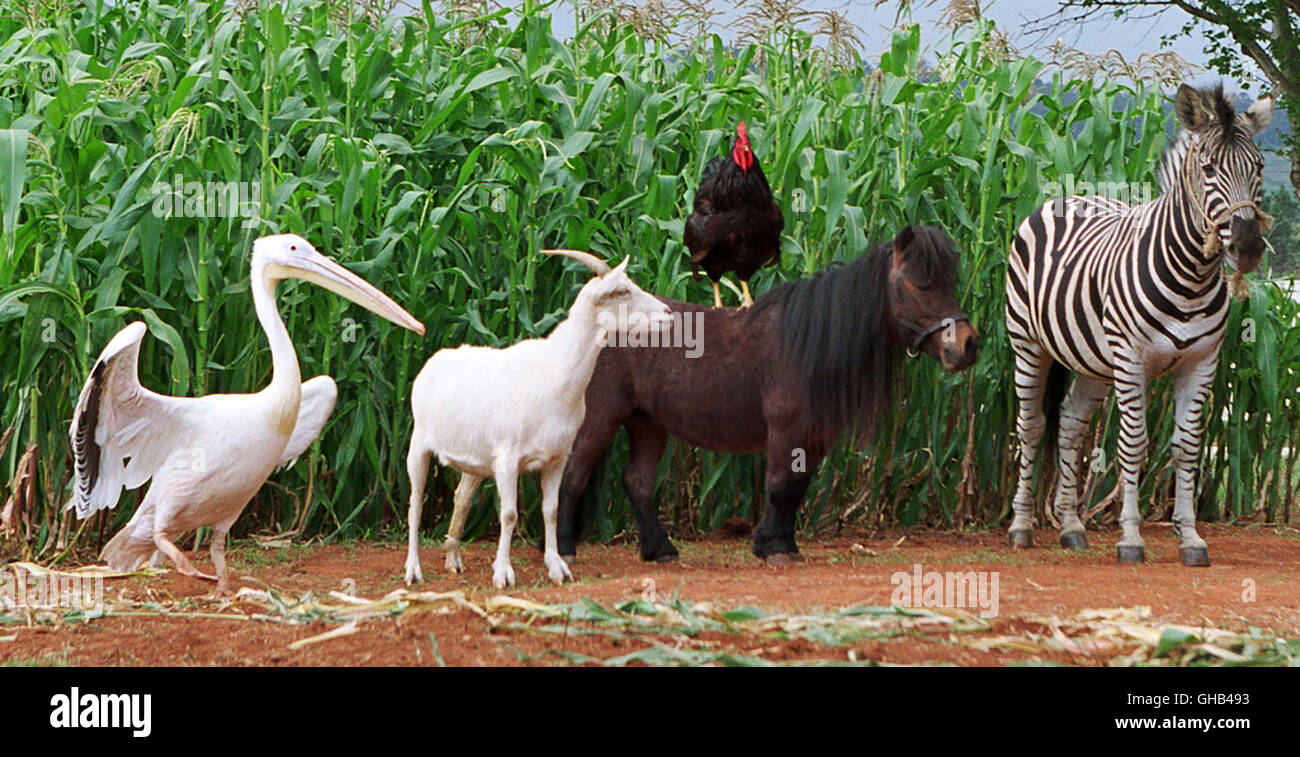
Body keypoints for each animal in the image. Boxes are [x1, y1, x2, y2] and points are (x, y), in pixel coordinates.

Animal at [1005, 84, 1274, 566]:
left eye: (1258, 167)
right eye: (1209, 168)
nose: (1247, 247)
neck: (1190, 276)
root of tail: (1067, 197)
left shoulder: (1202, 363)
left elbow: (1187, 447)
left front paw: (1191, 538)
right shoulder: (1132, 361)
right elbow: (1134, 444)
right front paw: (1130, 537)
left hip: (1092, 362)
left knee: (1070, 424)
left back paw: (1071, 526)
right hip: (1028, 345)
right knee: (1031, 425)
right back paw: (1020, 526)